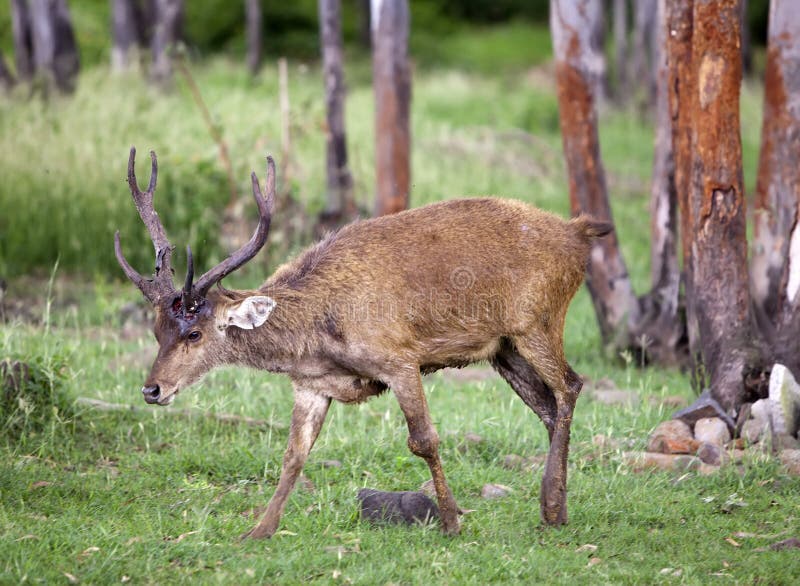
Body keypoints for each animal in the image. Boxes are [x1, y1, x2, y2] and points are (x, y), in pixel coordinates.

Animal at [114, 147, 612, 539]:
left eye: (195, 332)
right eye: (156, 330)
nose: (151, 389)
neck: (321, 336)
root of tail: (579, 231)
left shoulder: (399, 358)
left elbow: (424, 440)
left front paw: (452, 522)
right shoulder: (310, 385)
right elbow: (293, 455)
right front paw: (258, 530)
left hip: (539, 321)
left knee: (570, 385)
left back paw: (552, 506)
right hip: (503, 348)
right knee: (548, 405)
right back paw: (555, 507)